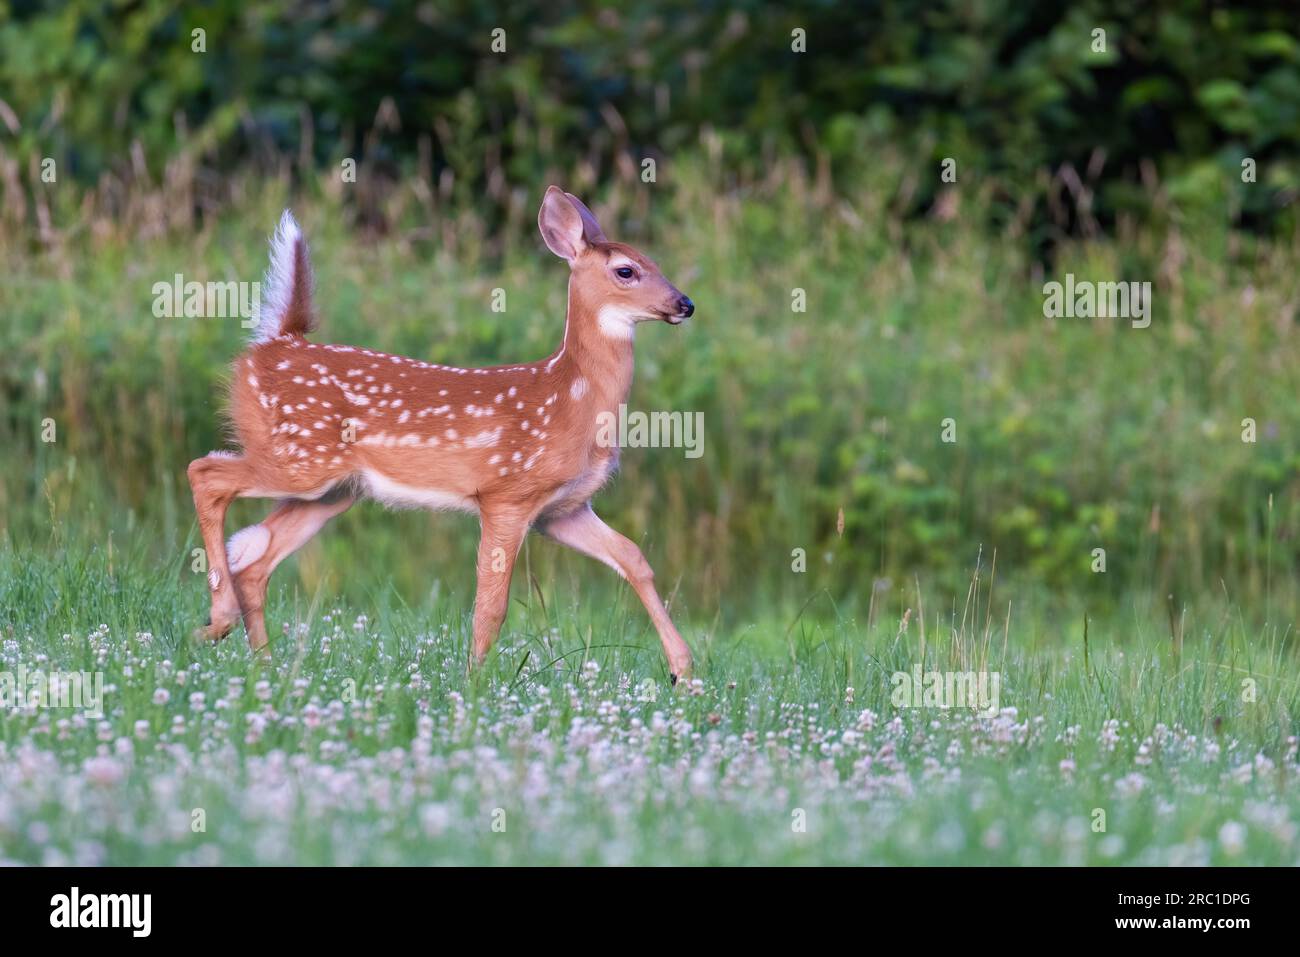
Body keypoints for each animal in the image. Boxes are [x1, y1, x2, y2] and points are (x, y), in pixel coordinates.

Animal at [186, 187, 696, 682]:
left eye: (656, 262)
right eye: (626, 270)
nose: (684, 304)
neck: (573, 399)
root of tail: (275, 344)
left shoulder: (562, 509)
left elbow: (634, 557)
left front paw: (683, 670)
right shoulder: (507, 493)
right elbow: (491, 606)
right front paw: (475, 687)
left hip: (332, 490)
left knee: (254, 561)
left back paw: (262, 663)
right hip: (297, 457)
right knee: (205, 472)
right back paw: (219, 620)